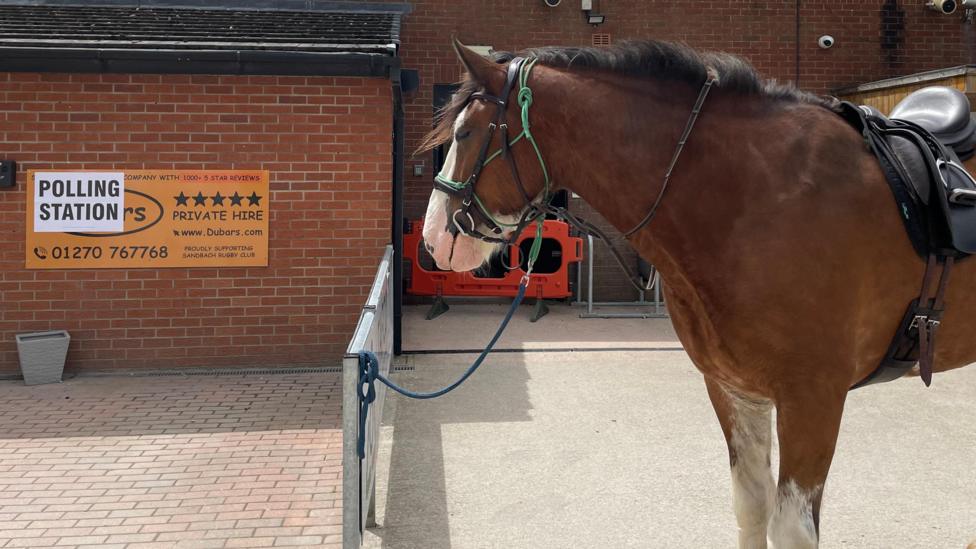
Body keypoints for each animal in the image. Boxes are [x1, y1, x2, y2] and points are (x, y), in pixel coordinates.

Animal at [419, 39, 976, 548]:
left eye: (465, 133)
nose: (433, 240)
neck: (759, 198)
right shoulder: (736, 390)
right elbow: (751, 507)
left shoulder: (814, 398)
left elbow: (790, 529)